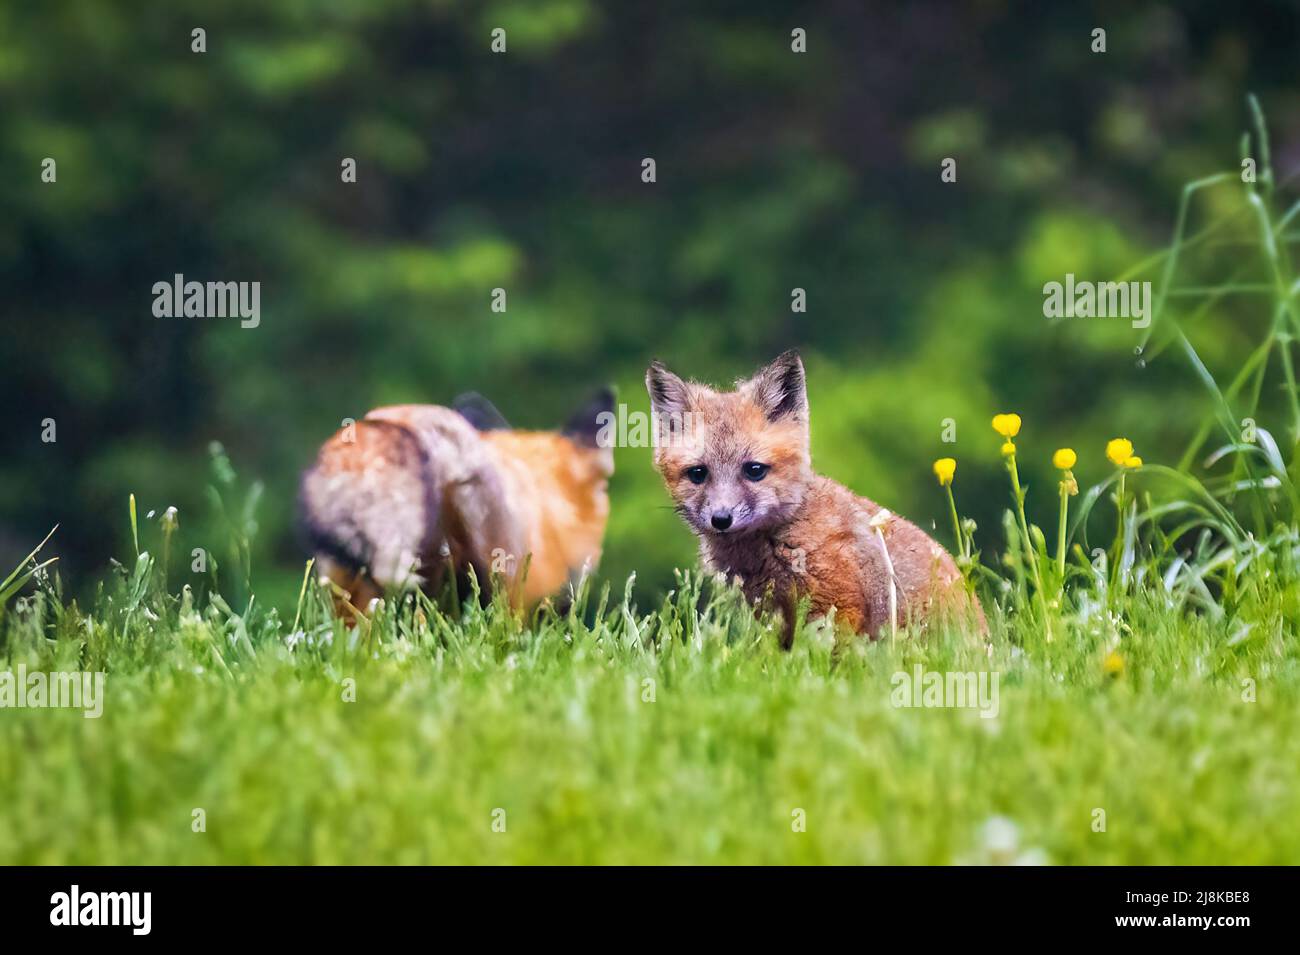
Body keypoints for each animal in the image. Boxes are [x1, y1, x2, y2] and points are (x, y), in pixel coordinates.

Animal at [646, 350, 985, 646]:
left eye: (754, 470)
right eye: (698, 473)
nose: (721, 519)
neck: (785, 536)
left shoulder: (838, 607)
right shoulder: (771, 615)